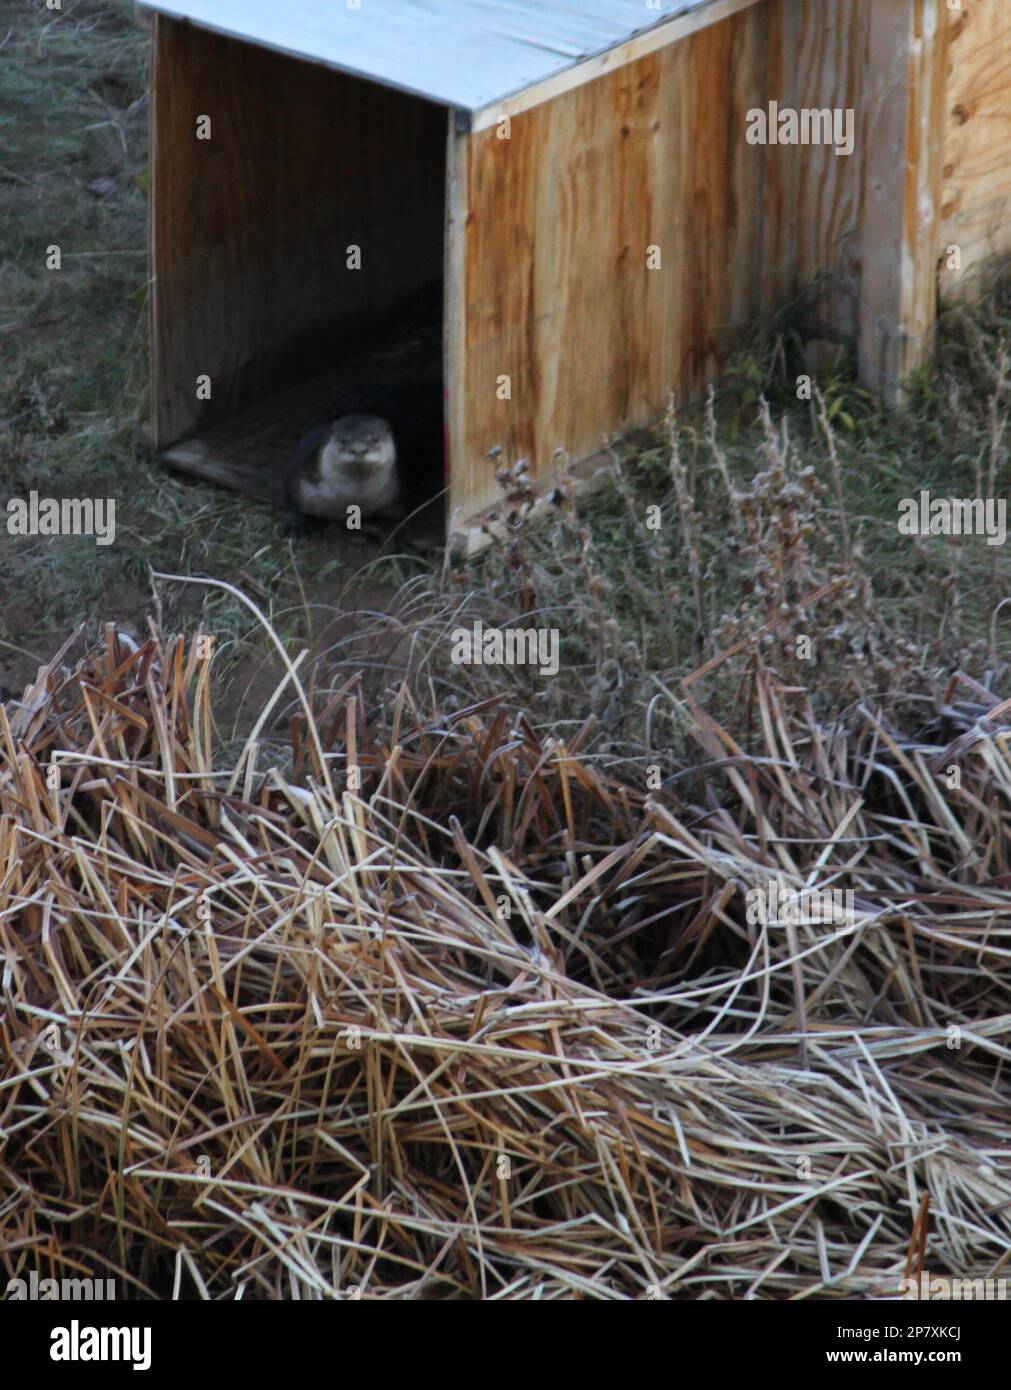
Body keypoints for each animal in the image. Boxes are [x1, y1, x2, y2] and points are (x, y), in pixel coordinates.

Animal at [283, 381, 443, 535]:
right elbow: (291, 502)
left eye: (374, 440)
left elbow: (398, 520)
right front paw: (295, 526)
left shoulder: (396, 497)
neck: (350, 500)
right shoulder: (300, 479)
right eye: (343, 440)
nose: (359, 450)